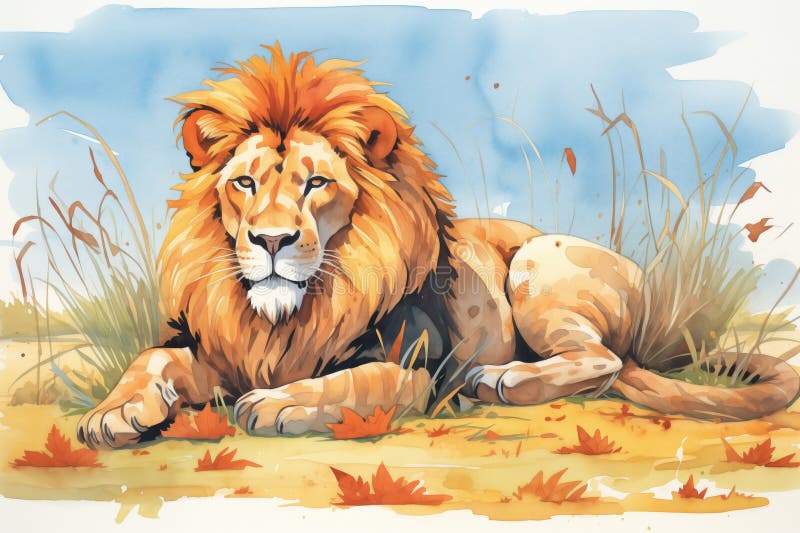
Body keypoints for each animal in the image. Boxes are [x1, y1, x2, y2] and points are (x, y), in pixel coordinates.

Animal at [77, 44, 799, 449]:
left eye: (316, 183)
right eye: (244, 184)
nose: (272, 239)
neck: (292, 314)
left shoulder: (414, 362)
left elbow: (351, 383)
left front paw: (282, 403)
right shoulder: (211, 344)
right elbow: (147, 358)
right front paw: (114, 413)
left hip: (536, 263)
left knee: (605, 361)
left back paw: (503, 380)